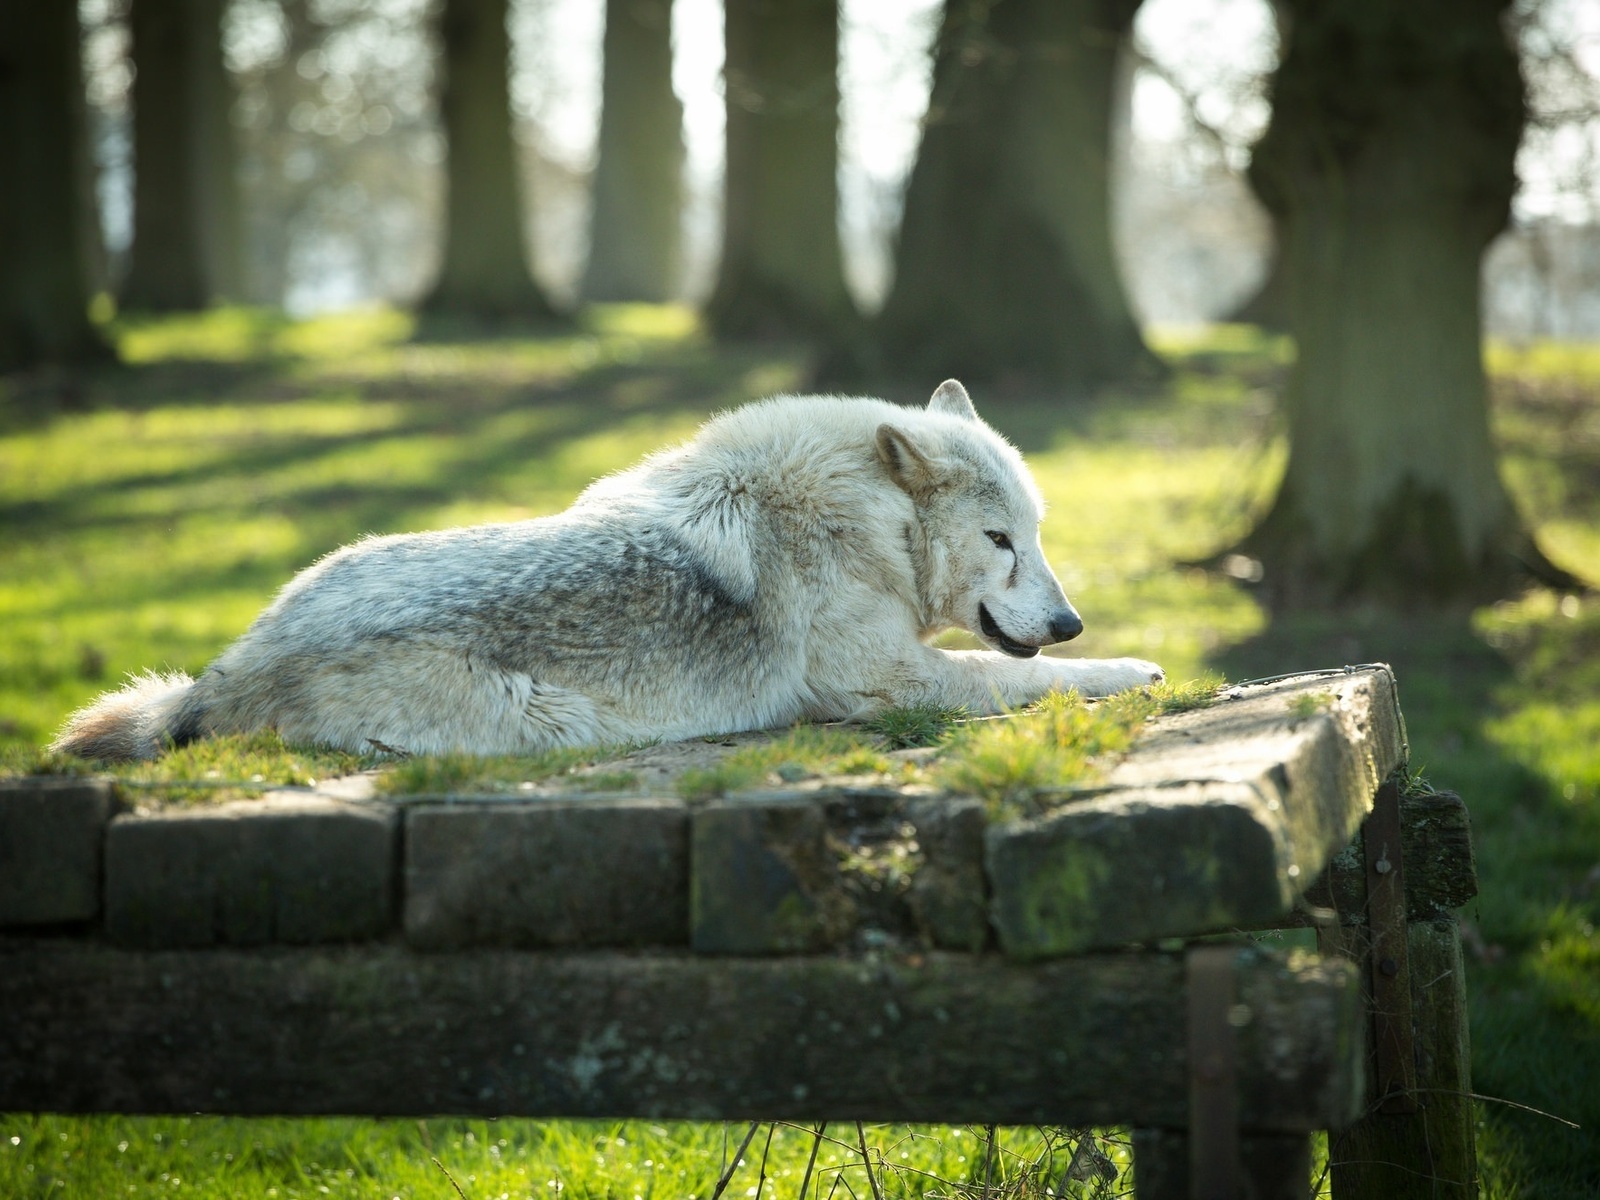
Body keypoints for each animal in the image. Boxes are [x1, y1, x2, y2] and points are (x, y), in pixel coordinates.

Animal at [53, 380, 1164, 761]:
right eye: (1000, 541)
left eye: (1038, 534)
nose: (1069, 618)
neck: (867, 523)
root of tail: (225, 671)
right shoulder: (890, 683)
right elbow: (1035, 679)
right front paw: (1132, 667)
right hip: (550, 721)